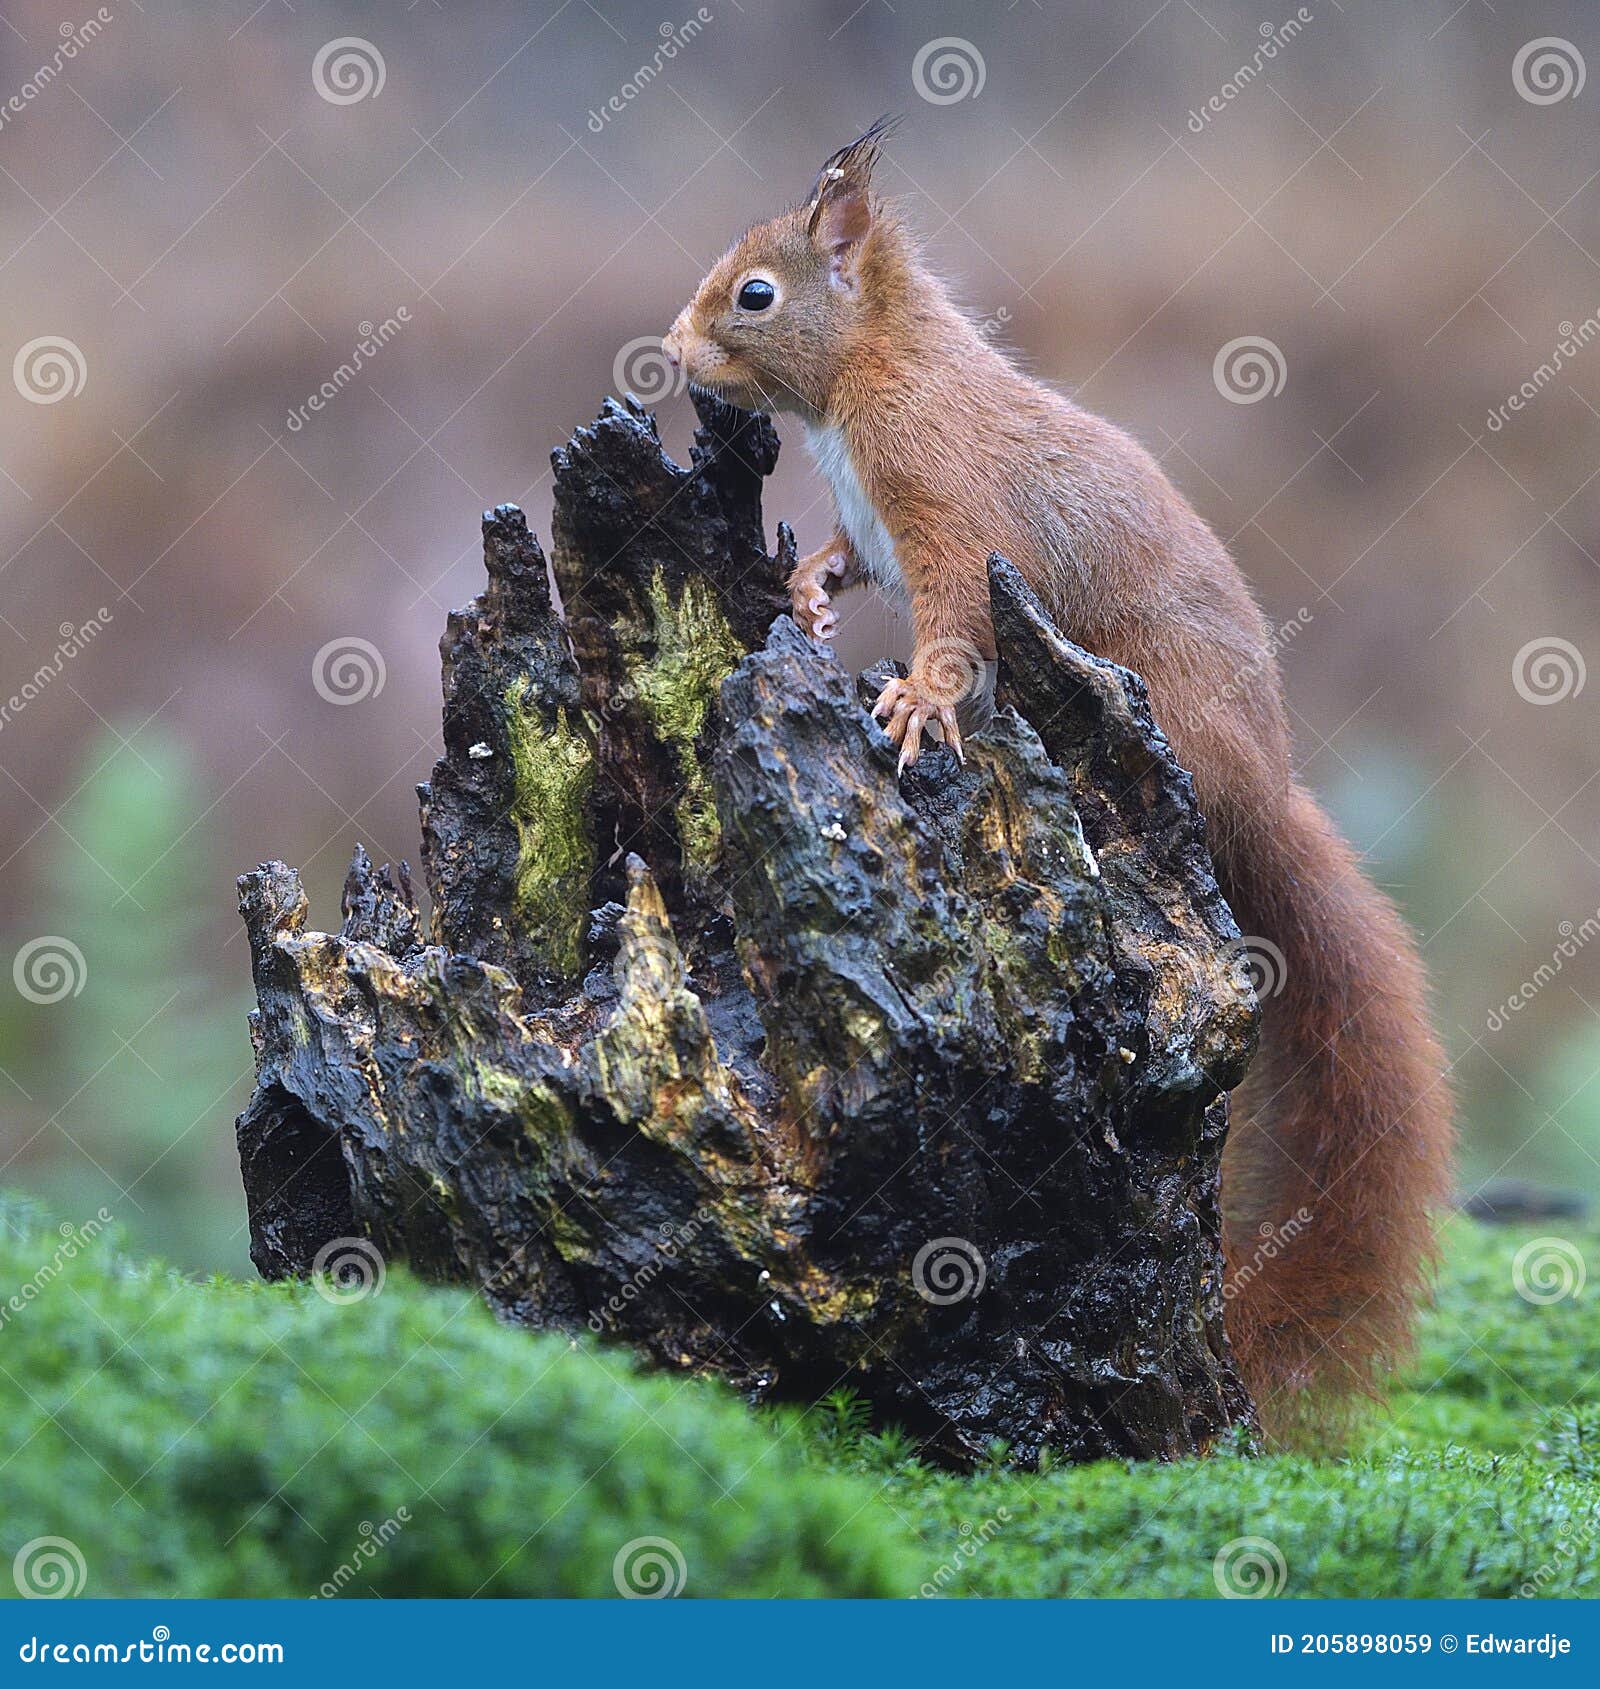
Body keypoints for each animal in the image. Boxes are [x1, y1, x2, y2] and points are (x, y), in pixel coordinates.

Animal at [662, 119, 1454, 1439]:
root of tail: (1259, 796)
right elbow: (848, 560)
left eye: (756, 294)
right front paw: (811, 591)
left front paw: (920, 704)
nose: (668, 353)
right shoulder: (872, 518)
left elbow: (951, 619)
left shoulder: (943, 504)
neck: (871, 374)